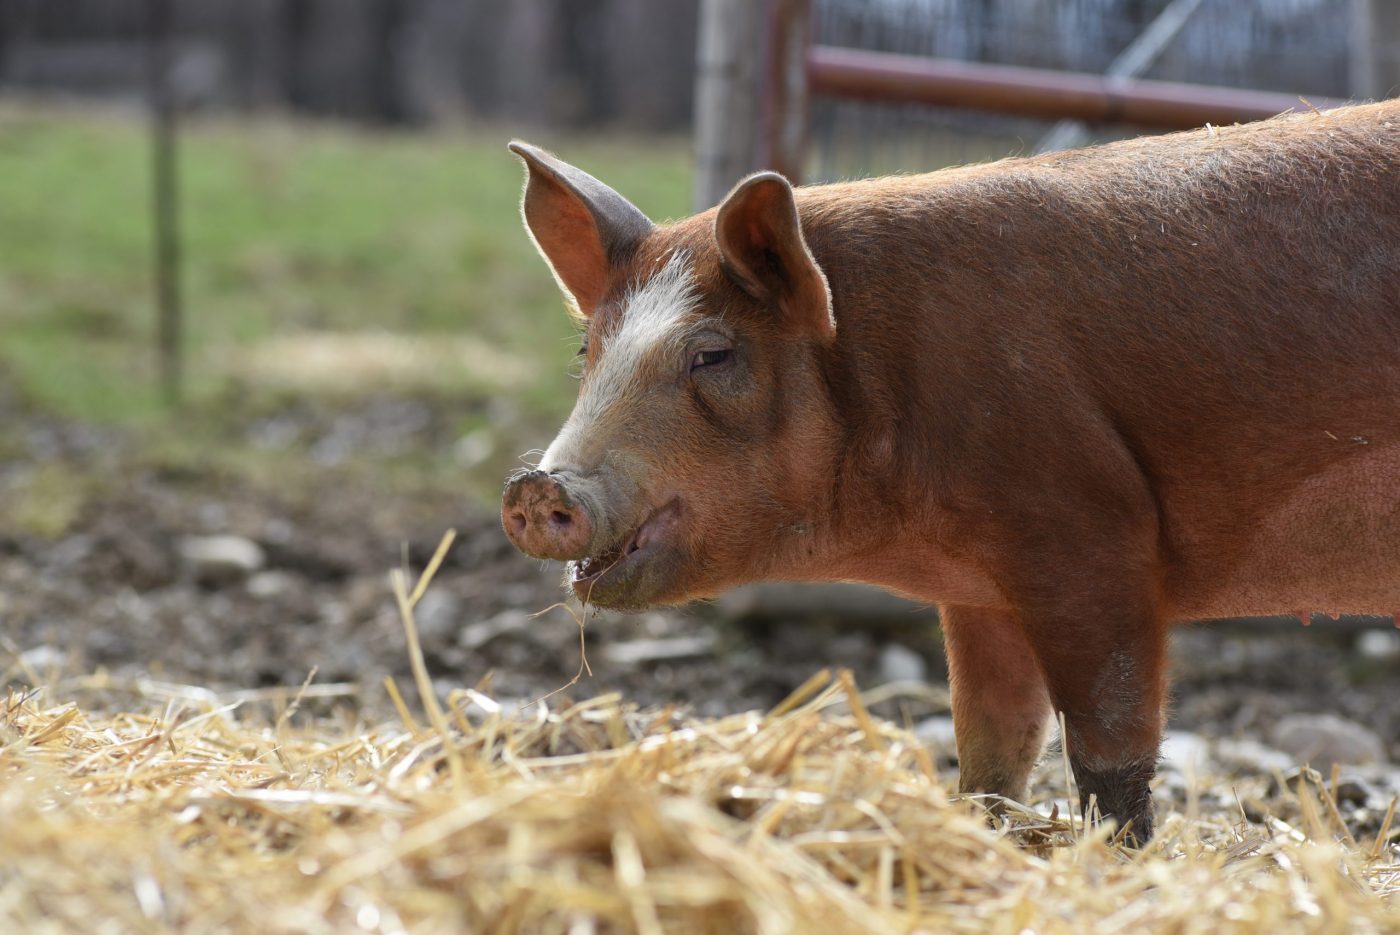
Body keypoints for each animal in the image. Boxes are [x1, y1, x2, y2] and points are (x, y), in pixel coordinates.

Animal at [501, 99, 1400, 844]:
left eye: (712, 354)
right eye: (588, 350)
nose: (537, 487)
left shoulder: (1090, 530)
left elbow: (1109, 745)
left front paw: (1118, 854)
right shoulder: (980, 591)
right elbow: (994, 745)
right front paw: (985, 828)